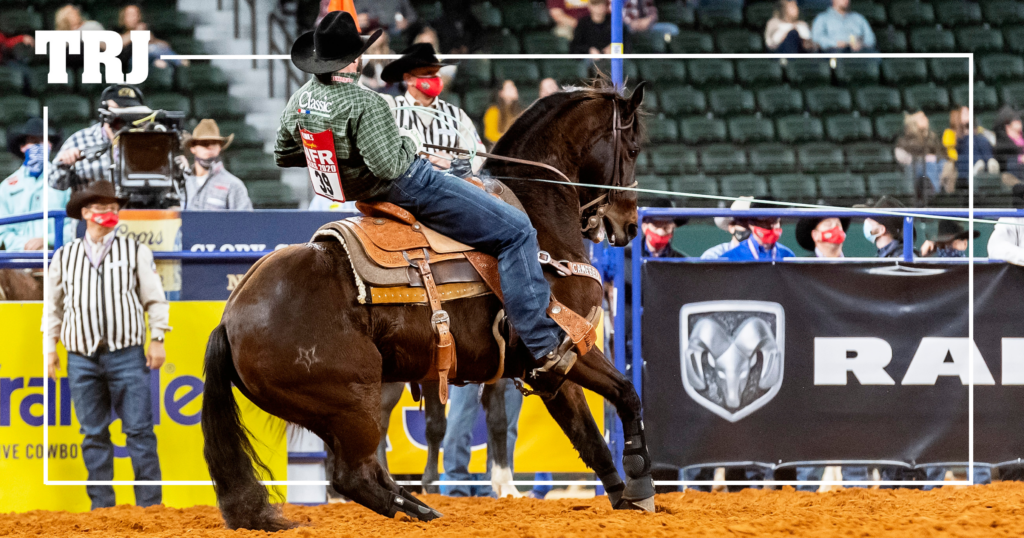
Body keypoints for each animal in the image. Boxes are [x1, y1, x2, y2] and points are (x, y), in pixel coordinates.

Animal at [200, 80, 653, 531]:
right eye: (633, 148)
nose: (629, 224)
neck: (540, 225)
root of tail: (228, 319)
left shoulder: (553, 364)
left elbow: (589, 437)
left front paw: (625, 500)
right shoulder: (568, 348)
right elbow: (627, 394)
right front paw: (641, 484)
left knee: (365, 471)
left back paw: (418, 506)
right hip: (351, 402)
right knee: (353, 474)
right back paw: (419, 509)